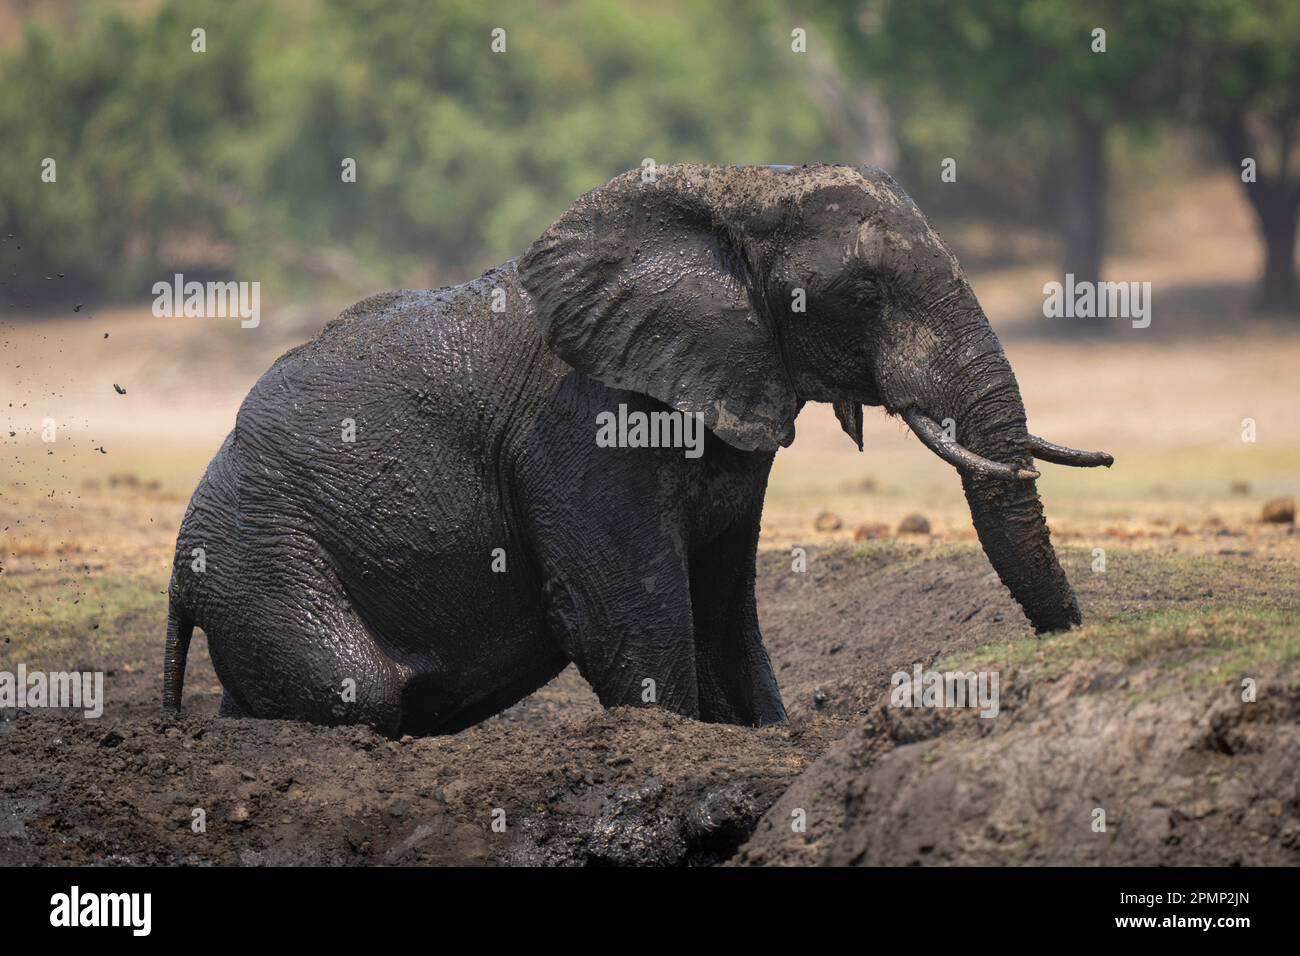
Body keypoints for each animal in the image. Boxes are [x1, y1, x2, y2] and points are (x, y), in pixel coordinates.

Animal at [162, 163, 1112, 736]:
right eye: (863, 294)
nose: (1064, 641)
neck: (742, 195)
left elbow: (724, 606)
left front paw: (764, 736)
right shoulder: (585, 424)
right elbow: (619, 608)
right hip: (265, 560)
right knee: (359, 688)